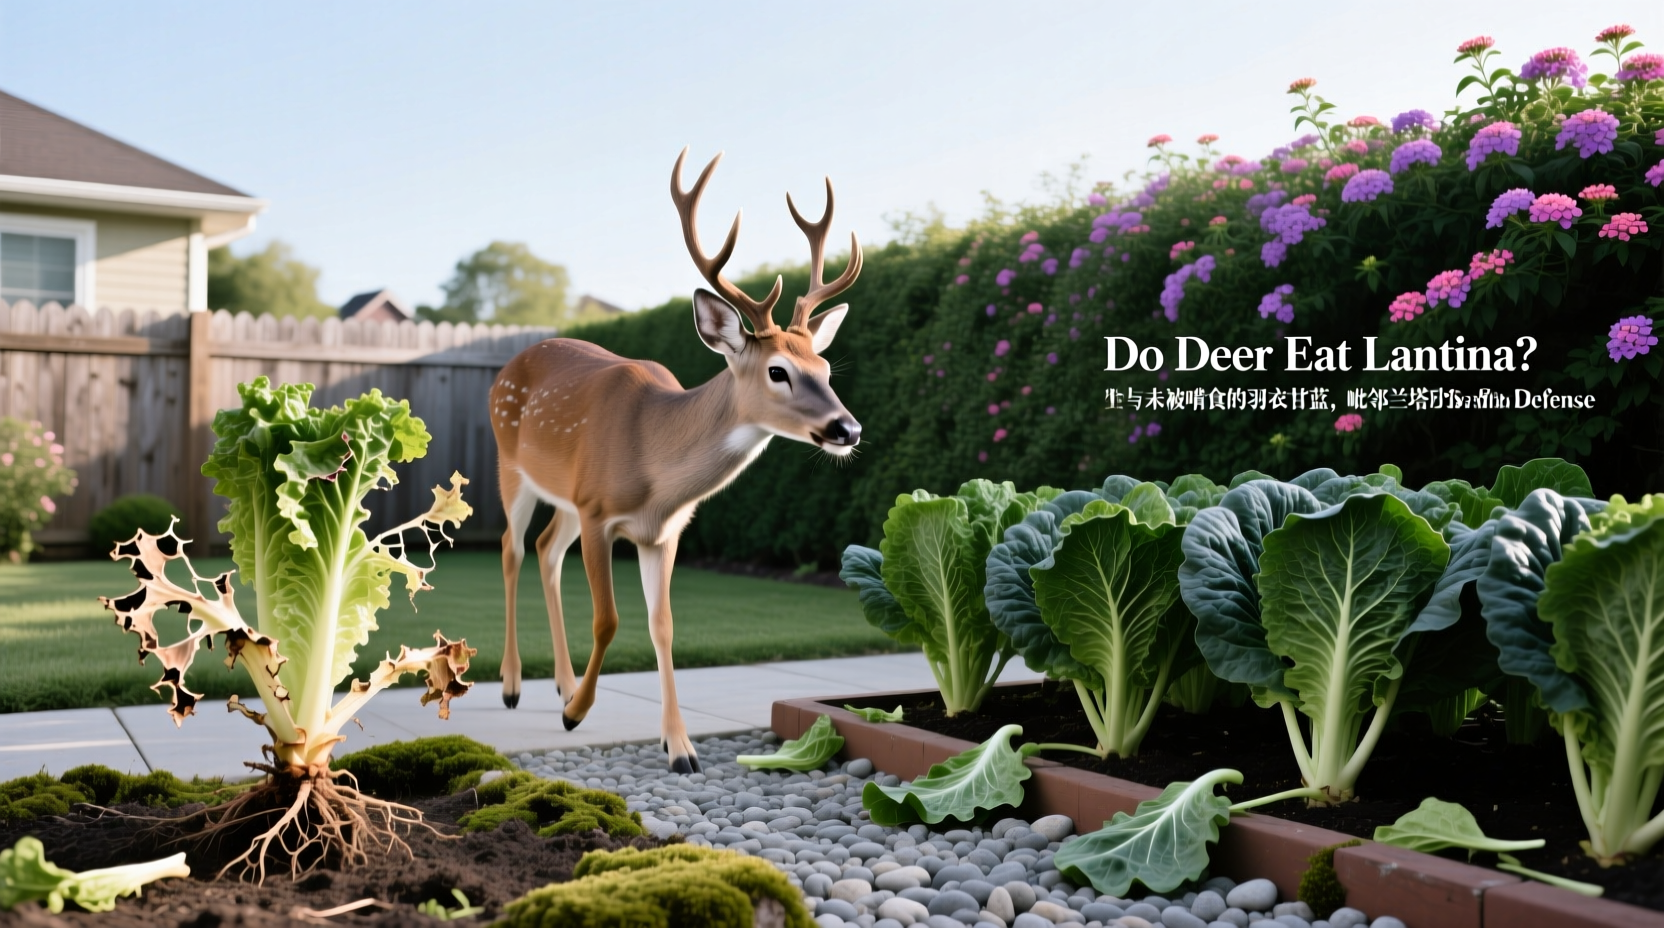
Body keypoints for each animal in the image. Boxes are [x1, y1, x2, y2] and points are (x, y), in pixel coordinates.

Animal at [489, 148, 864, 773]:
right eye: (778, 371)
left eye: (826, 368)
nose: (848, 428)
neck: (654, 466)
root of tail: (511, 361)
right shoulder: (598, 514)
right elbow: (609, 618)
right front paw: (577, 715)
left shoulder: (661, 531)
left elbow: (662, 625)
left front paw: (679, 747)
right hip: (510, 464)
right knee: (512, 548)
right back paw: (516, 686)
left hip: (564, 496)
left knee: (545, 550)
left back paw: (562, 682)